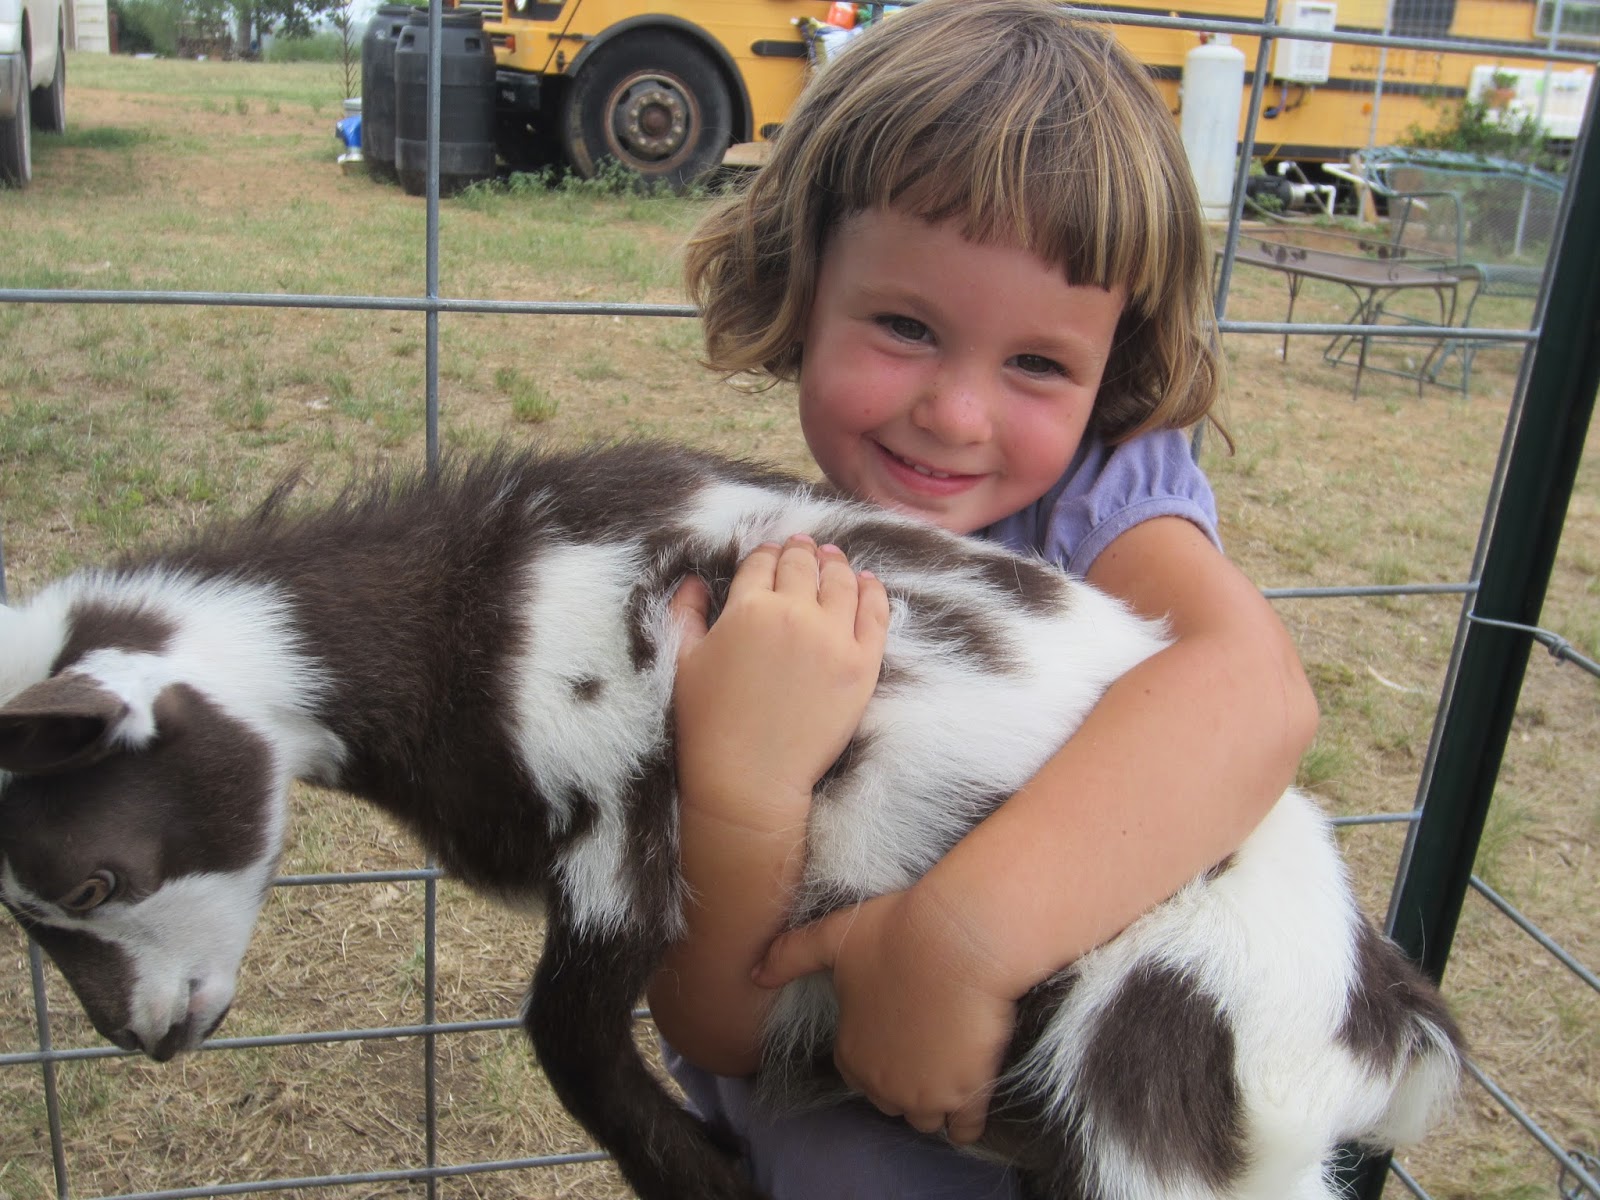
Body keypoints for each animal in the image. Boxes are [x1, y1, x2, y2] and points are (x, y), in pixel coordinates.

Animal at [0, 443, 1460, 1200]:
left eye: (94, 879)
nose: (147, 1035)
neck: (477, 607)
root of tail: (1373, 1005)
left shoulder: (617, 789)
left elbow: (568, 1033)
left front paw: (705, 1172)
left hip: (1158, 1049)